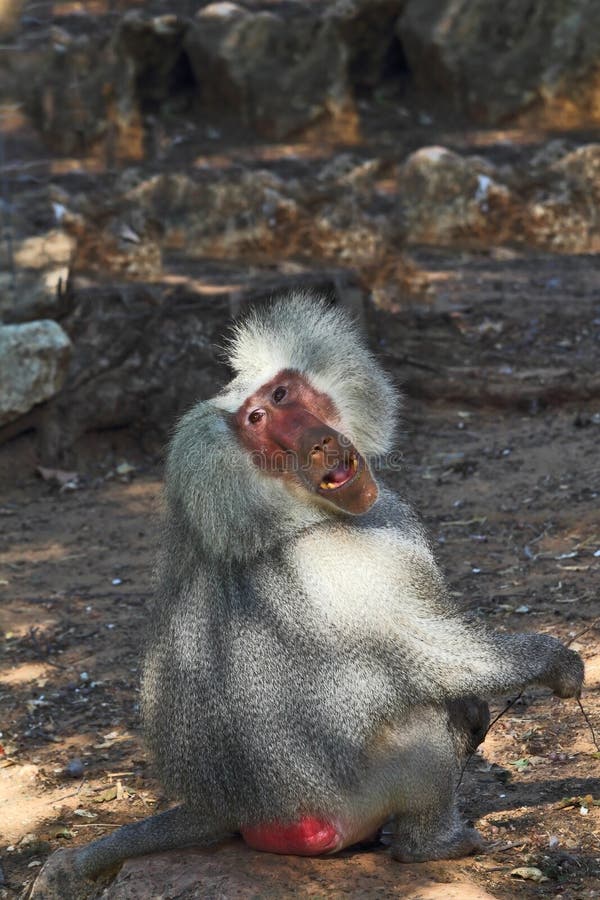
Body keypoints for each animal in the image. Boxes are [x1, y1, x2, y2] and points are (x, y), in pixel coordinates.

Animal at [31, 293, 583, 898]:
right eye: (257, 421)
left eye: (280, 396)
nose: (318, 442)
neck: (283, 509)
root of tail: (226, 809)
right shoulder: (338, 564)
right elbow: (434, 656)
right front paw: (556, 663)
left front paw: (485, 704)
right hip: (343, 800)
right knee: (420, 723)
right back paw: (431, 844)